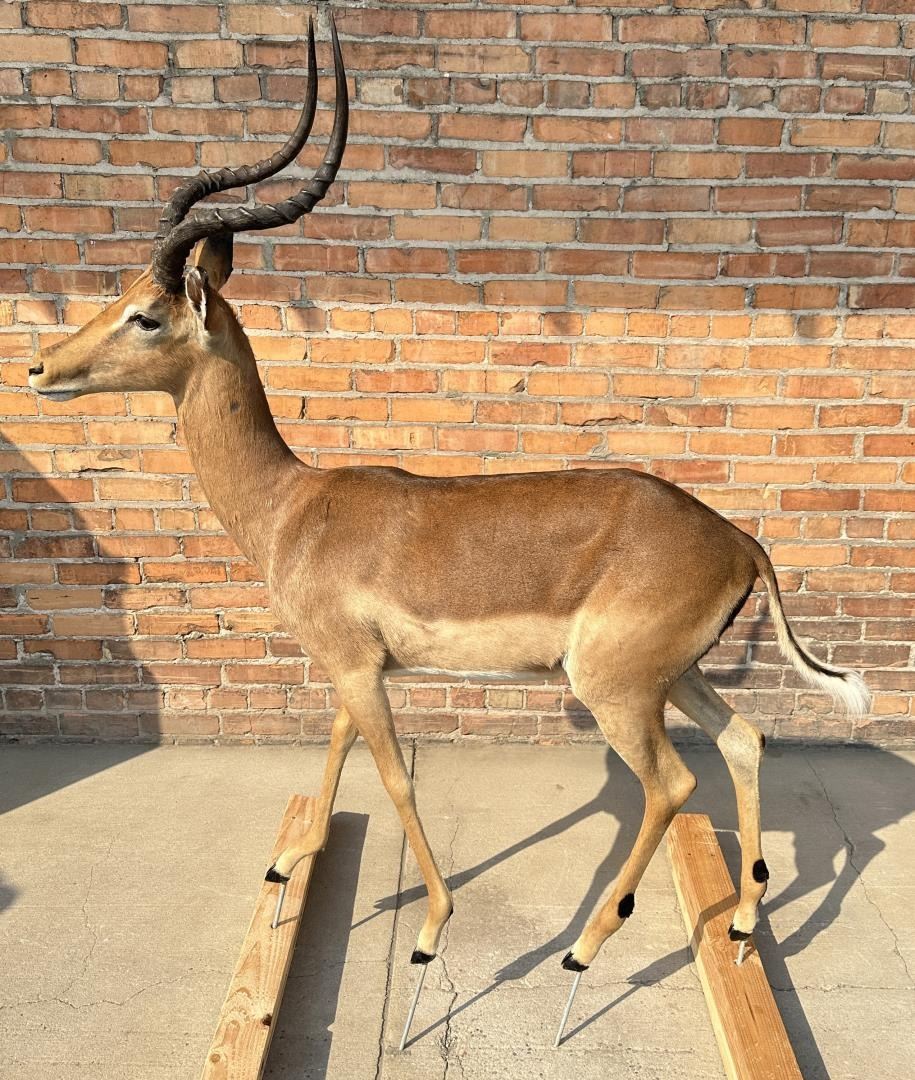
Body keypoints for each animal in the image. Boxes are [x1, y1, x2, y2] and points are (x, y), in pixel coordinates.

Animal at [27, 16, 870, 1050]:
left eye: (146, 315)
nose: (40, 369)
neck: (295, 504)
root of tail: (736, 538)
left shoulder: (356, 667)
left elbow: (394, 780)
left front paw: (429, 939)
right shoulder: (353, 669)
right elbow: (337, 749)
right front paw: (287, 867)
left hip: (615, 691)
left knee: (672, 787)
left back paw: (578, 959)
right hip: (674, 677)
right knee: (746, 740)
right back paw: (743, 927)